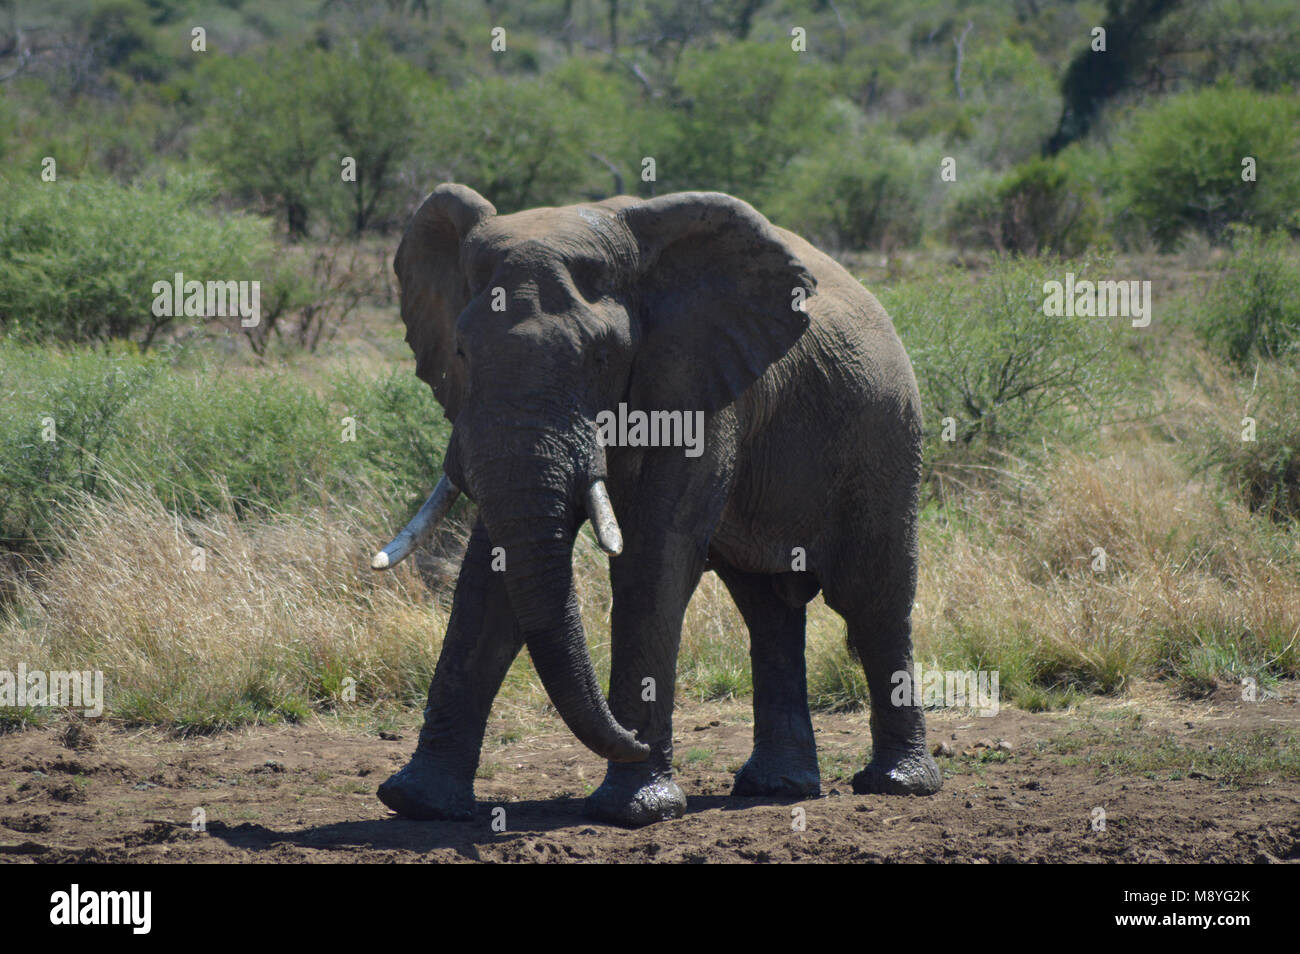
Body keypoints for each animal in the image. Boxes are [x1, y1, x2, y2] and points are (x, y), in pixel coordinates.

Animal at [371, 183, 941, 827]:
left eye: (600, 357)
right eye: (462, 353)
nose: (634, 740)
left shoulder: (694, 382)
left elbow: (654, 558)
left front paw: (635, 809)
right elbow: (490, 576)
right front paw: (416, 803)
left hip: (885, 437)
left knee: (873, 600)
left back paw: (898, 785)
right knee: (768, 612)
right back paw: (776, 787)